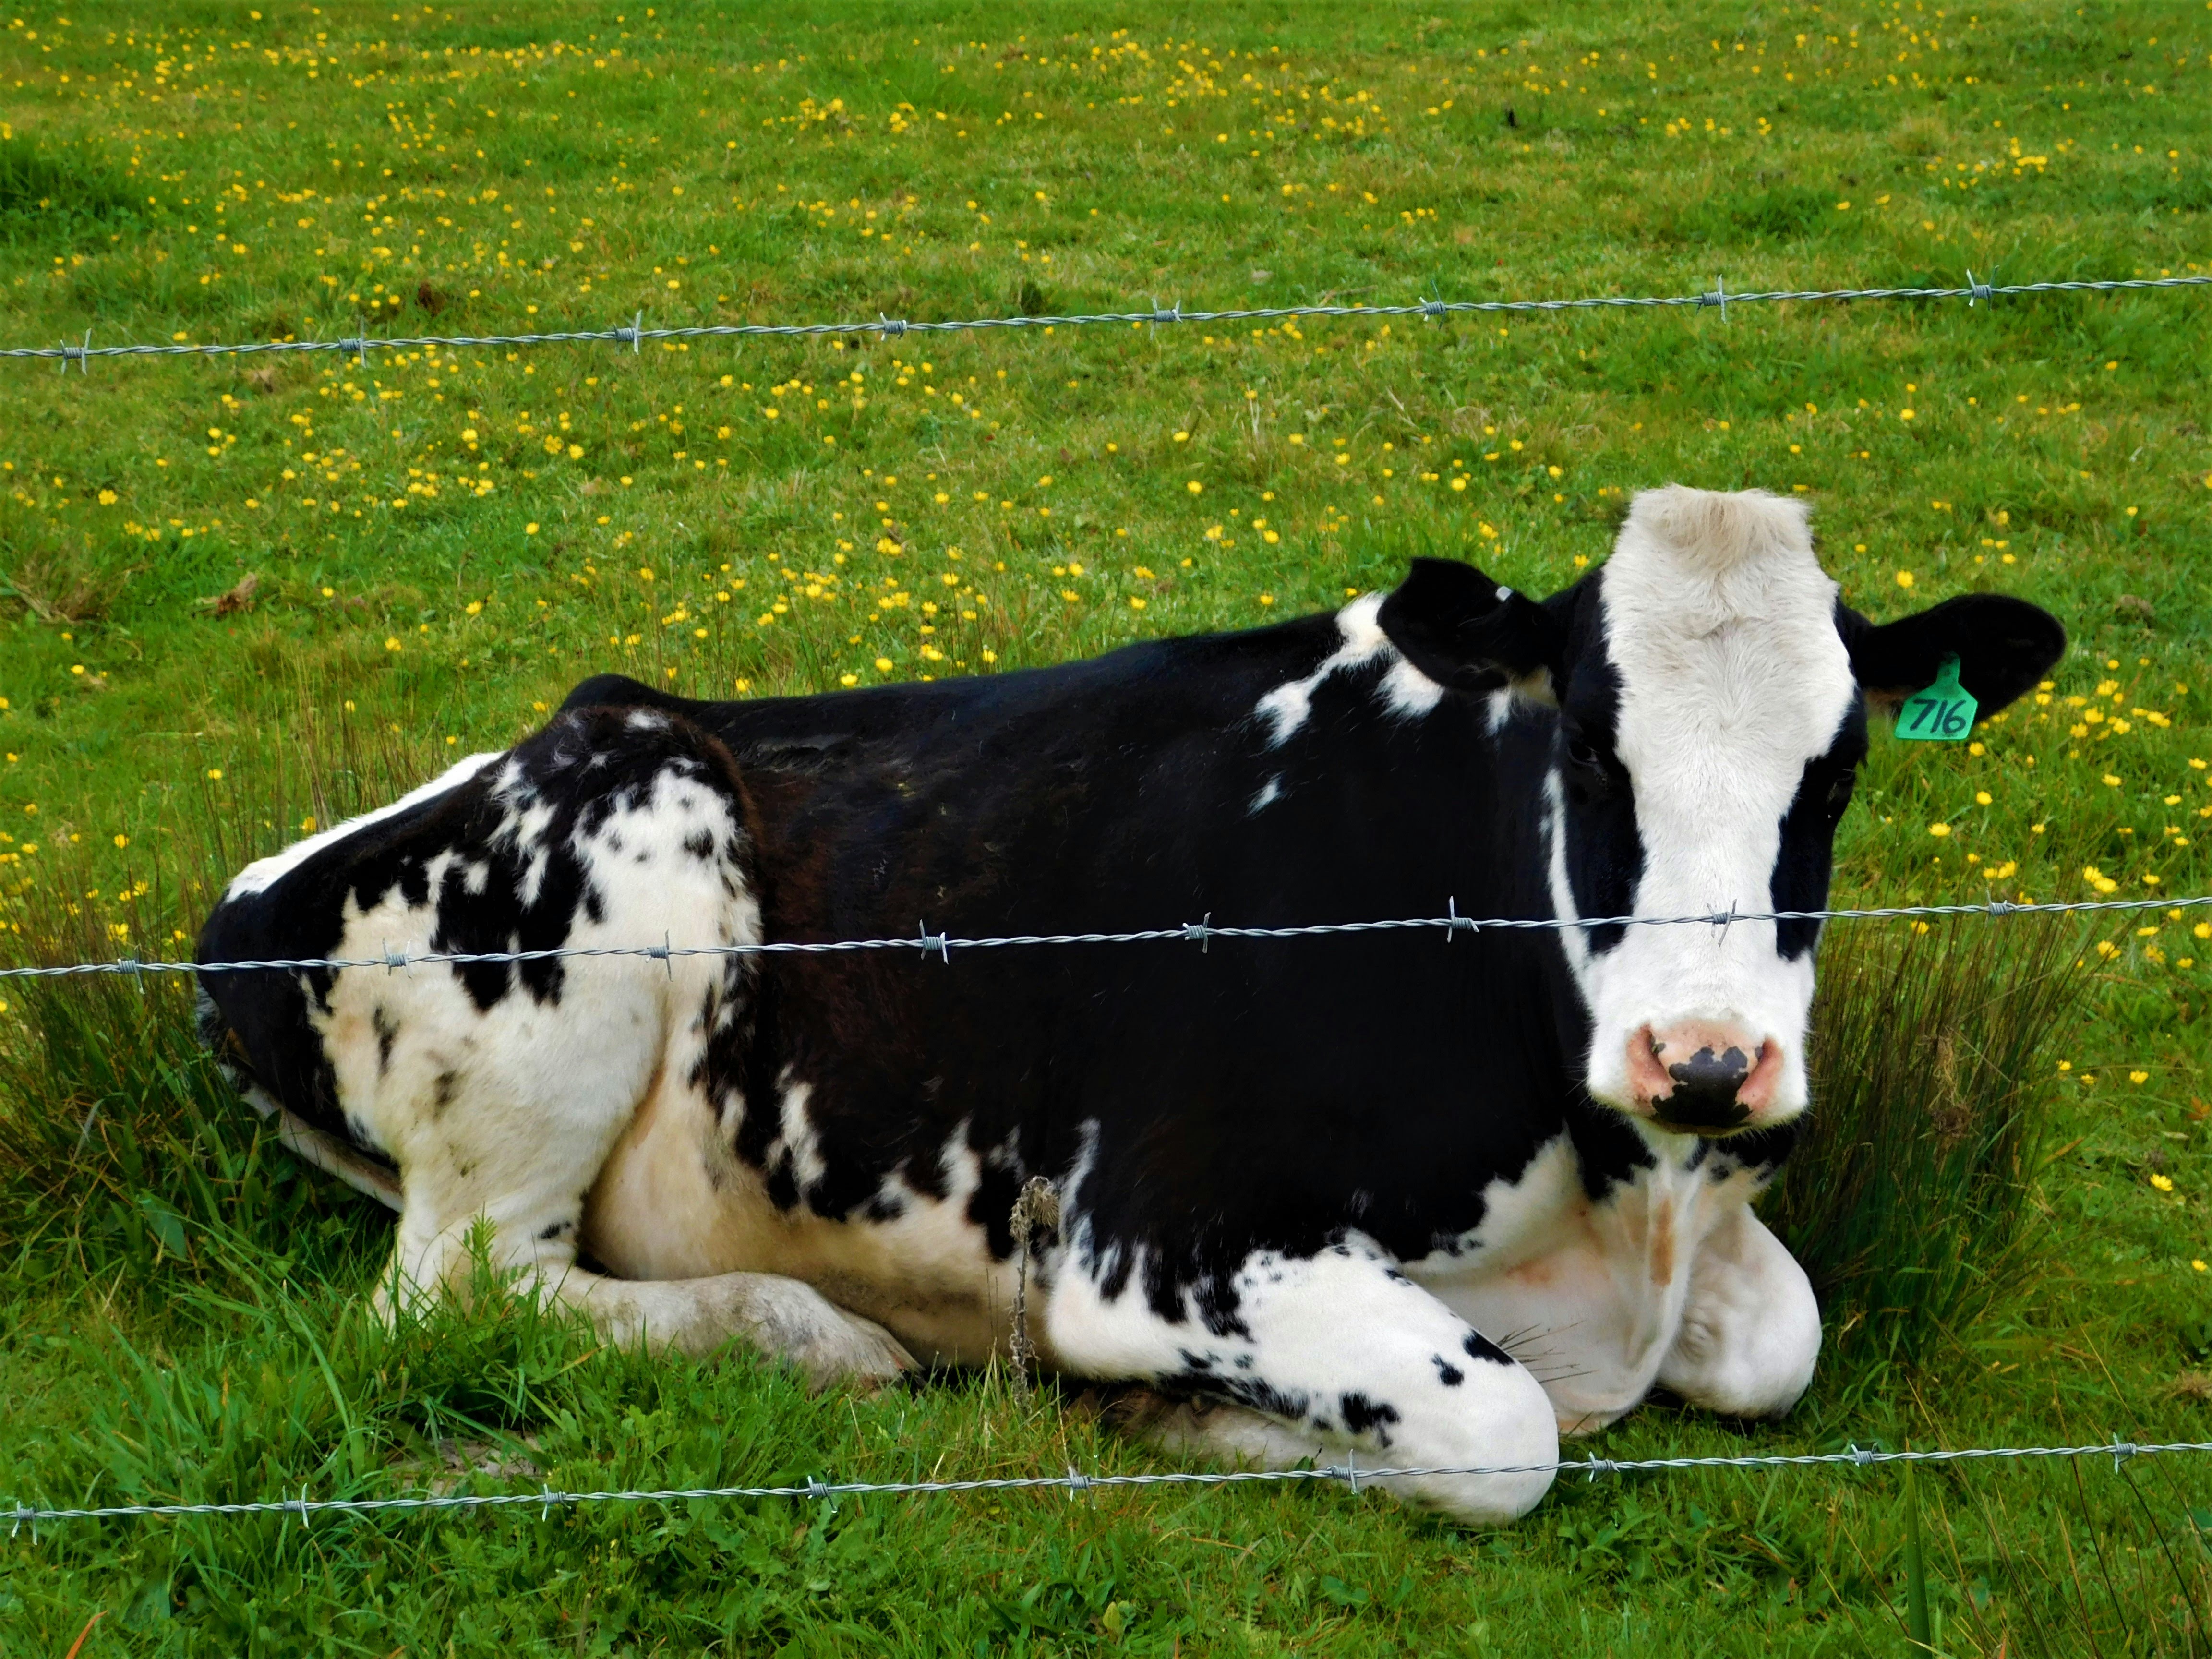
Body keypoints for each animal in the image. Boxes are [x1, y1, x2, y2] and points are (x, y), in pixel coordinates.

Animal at [196, 486, 2063, 1522]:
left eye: (1835, 774)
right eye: (1591, 750)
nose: (1708, 1059)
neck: (1632, 1206)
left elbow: (1780, 1342)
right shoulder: (1157, 1239)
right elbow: (1504, 1426)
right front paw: (1181, 1417)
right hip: (617, 875)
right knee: (459, 1299)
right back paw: (814, 1333)